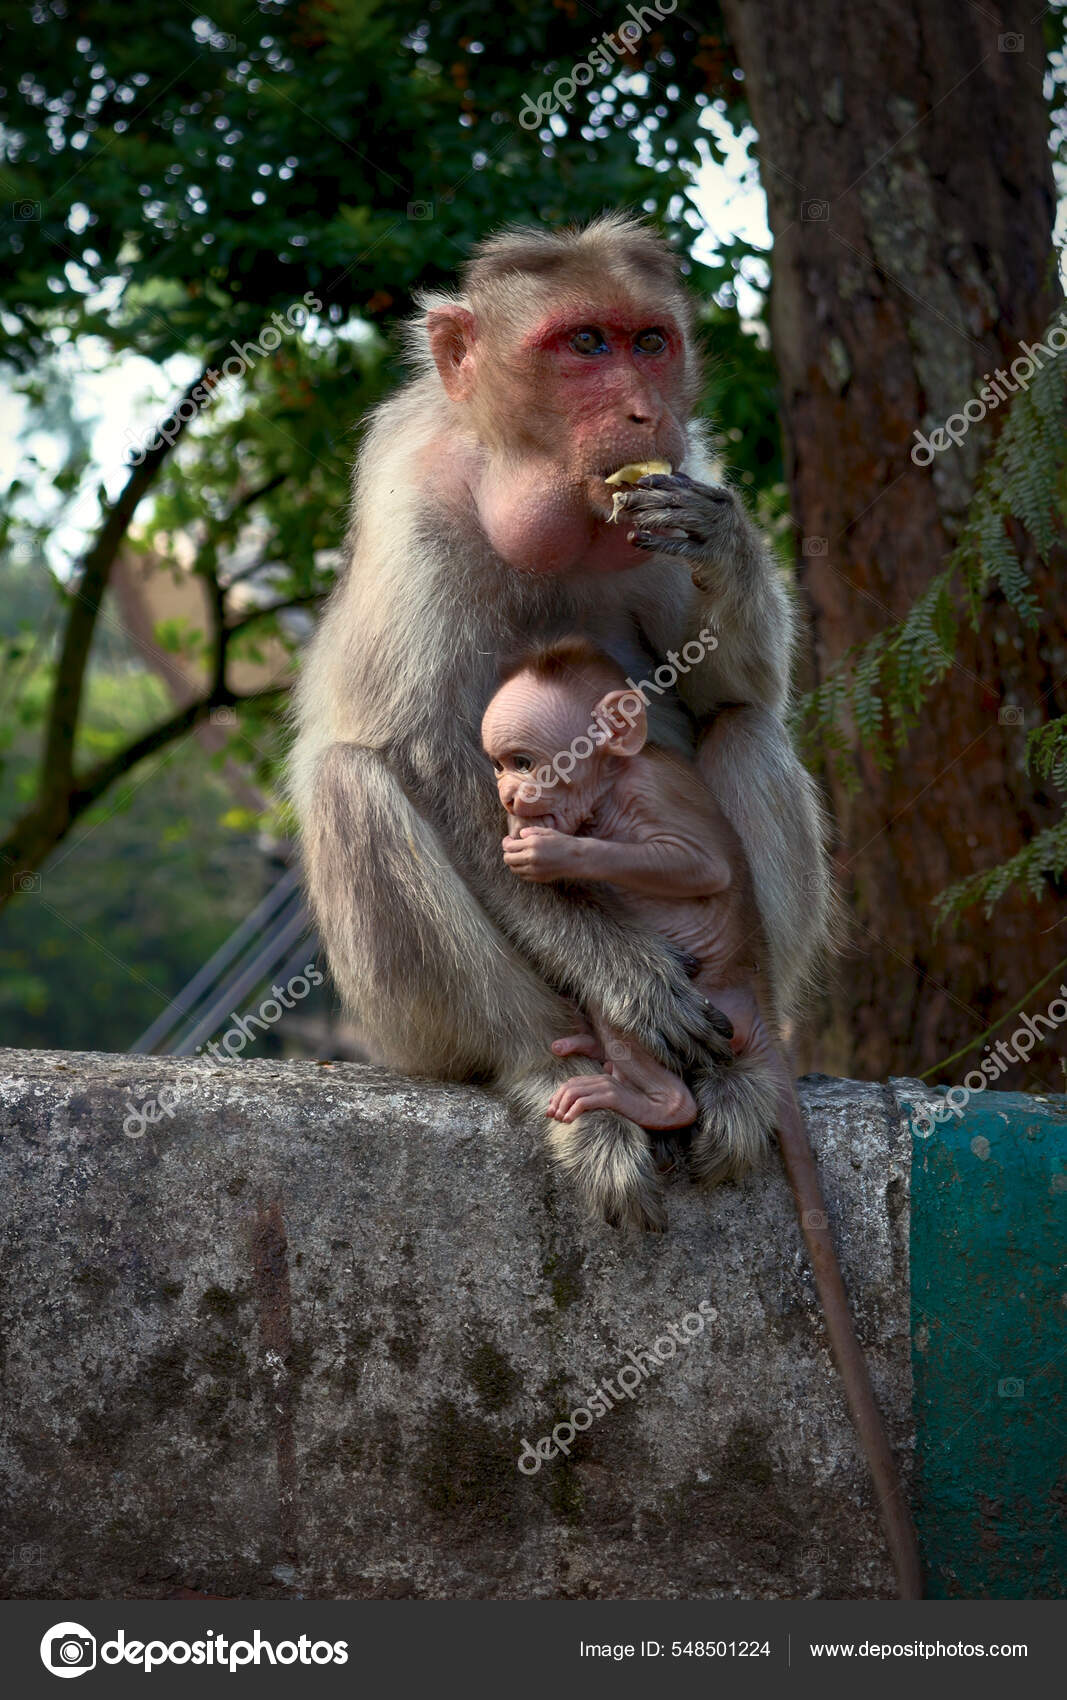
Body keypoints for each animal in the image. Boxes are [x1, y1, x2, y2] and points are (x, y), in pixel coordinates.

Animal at [480, 637, 782, 1182]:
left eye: (524, 762)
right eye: (498, 765)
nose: (509, 796)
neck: (608, 785)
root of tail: (753, 991)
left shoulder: (649, 792)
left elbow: (700, 867)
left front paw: (553, 852)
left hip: (716, 1014)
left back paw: (659, 1103)